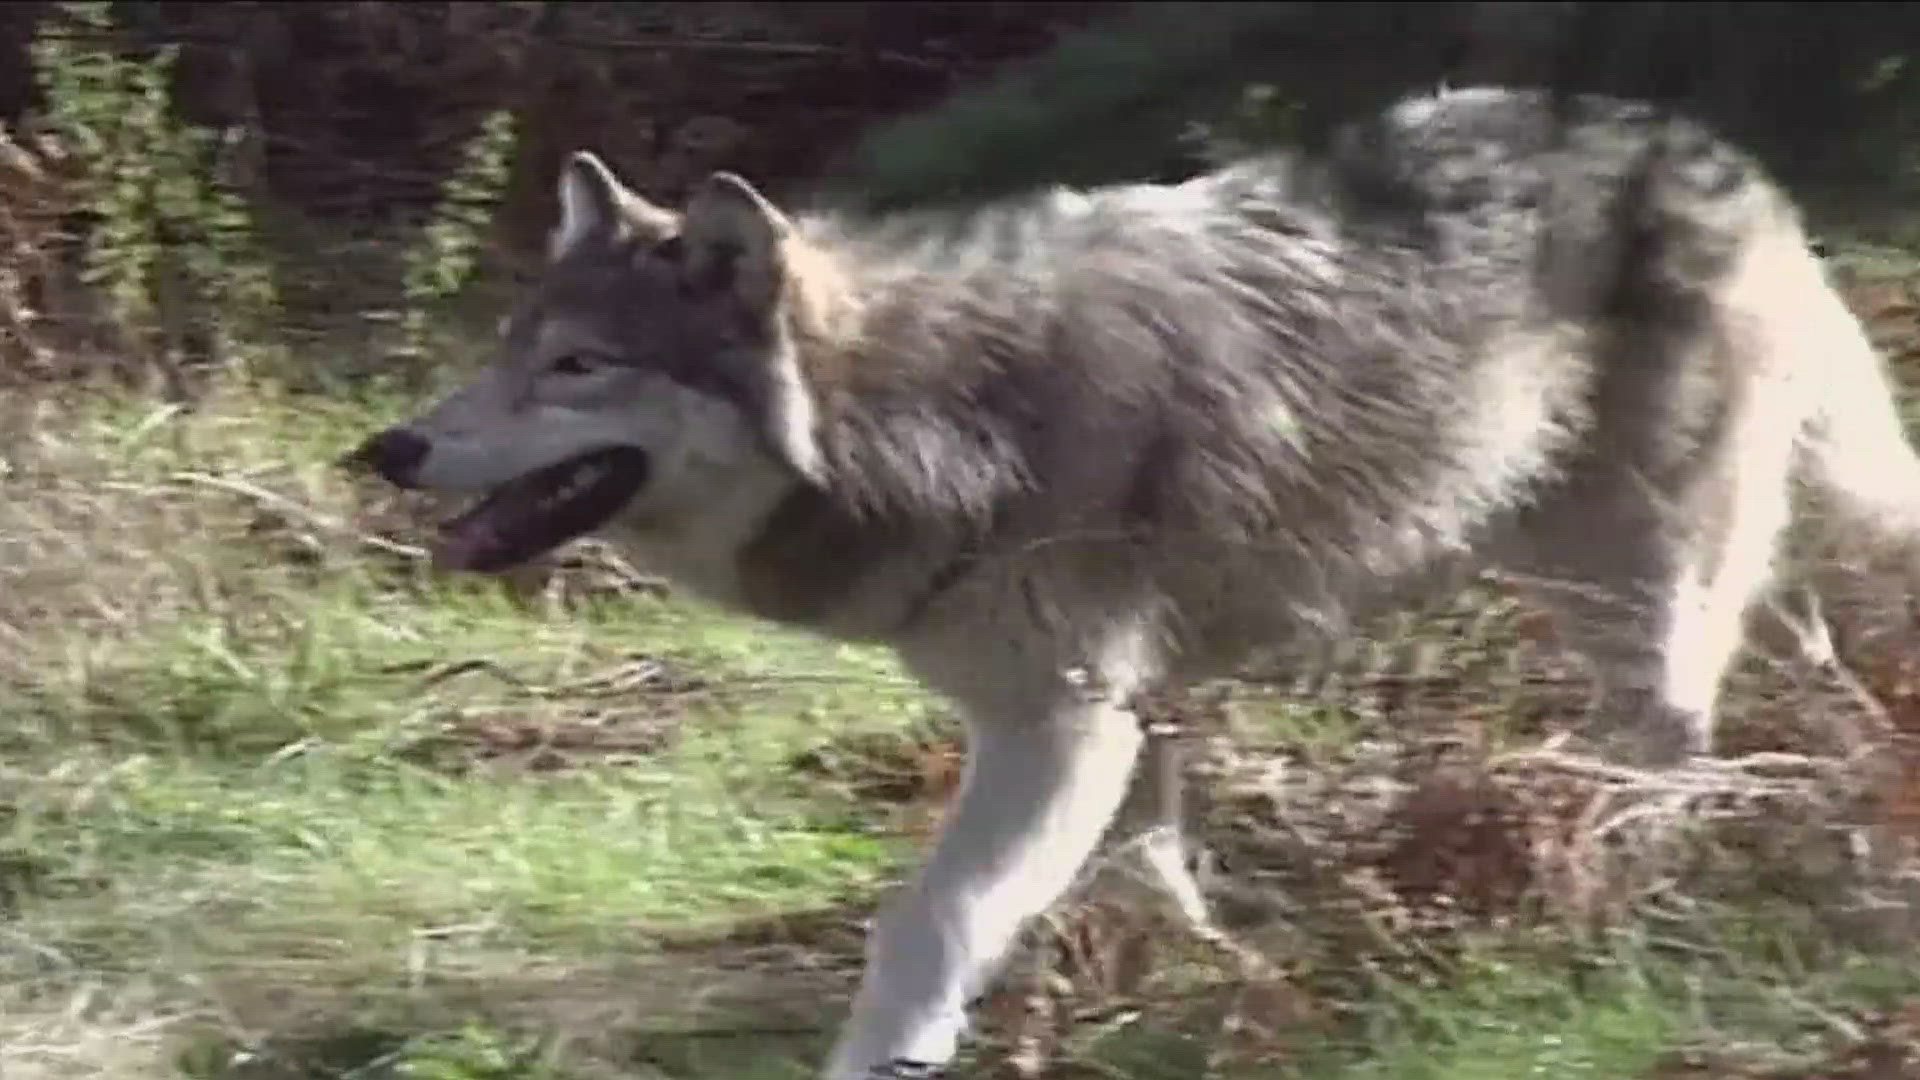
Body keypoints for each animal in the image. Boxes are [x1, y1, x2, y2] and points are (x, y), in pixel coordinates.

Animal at [347, 86, 1920, 1079]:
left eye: (575, 366)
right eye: (506, 353)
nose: (386, 447)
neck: (923, 418)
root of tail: (1705, 146)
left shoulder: (1061, 723)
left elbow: (928, 924)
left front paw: (893, 1055)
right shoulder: (1134, 705)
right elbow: (1154, 869)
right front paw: (1202, 974)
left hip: (1629, 595)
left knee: (1670, 745)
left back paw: (1631, 887)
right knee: (1792, 655)